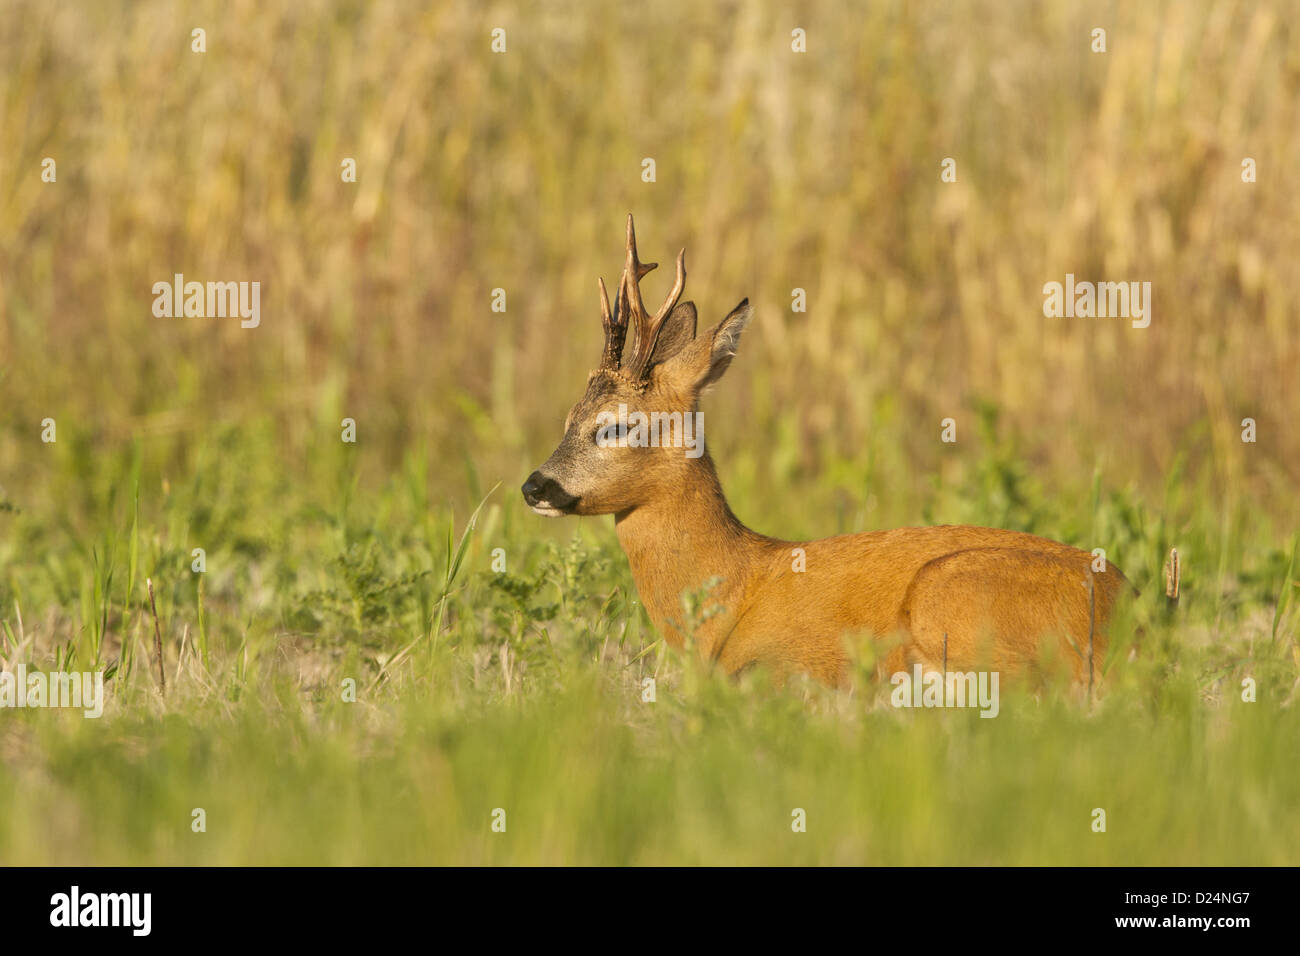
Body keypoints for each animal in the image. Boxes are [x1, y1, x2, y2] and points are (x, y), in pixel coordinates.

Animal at [522, 215, 1133, 690]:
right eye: (568, 417)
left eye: (615, 427)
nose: (534, 486)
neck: (734, 584)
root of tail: (1135, 619)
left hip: (949, 594)